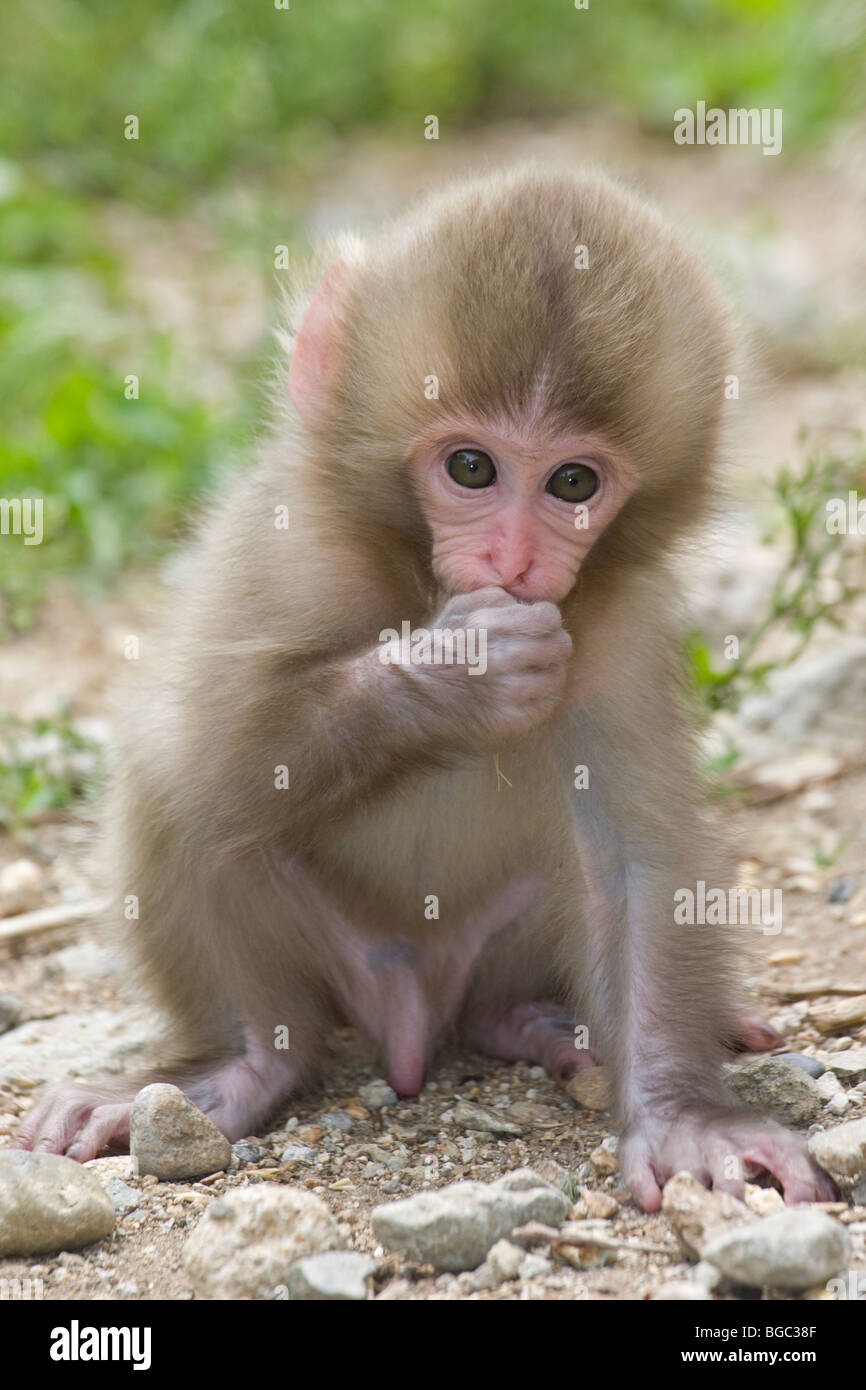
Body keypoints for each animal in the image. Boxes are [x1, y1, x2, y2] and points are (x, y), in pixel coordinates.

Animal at [16, 165, 833, 1211]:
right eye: (471, 467)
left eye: (574, 483)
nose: (515, 562)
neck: (416, 573)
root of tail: (409, 1011)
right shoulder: (288, 548)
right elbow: (197, 753)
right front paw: (460, 671)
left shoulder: (620, 628)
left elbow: (629, 859)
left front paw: (683, 1115)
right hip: (338, 957)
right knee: (182, 806)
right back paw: (241, 1068)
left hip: (491, 948)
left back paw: (534, 1026)